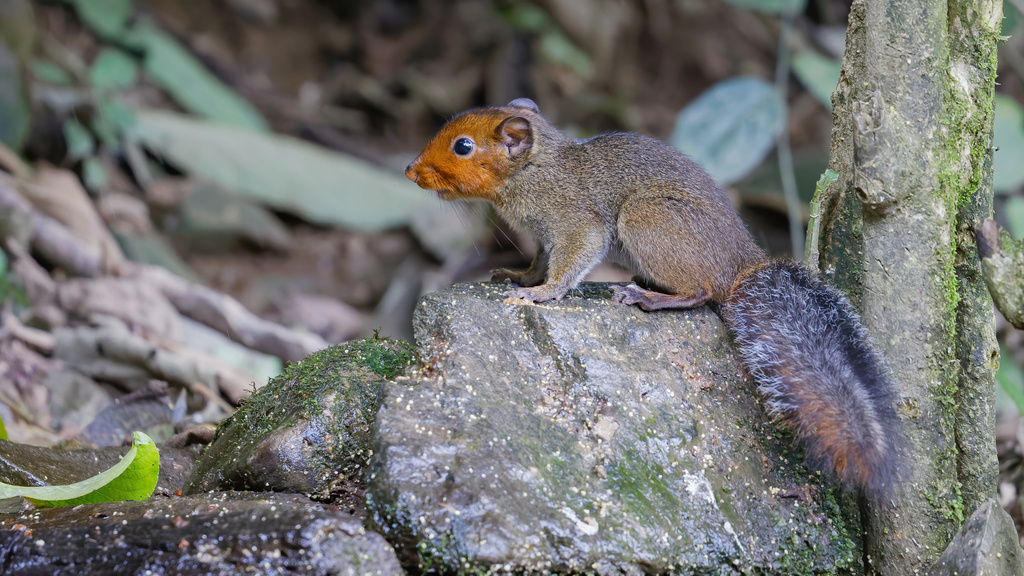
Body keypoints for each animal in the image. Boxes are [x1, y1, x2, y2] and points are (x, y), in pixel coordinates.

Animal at [405, 97, 903, 500]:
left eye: (463, 146)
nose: (411, 171)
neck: (534, 168)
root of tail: (743, 265)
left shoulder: (576, 222)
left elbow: (568, 265)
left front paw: (538, 294)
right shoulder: (546, 236)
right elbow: (539, 260)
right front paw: (517, 276)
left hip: (647, 219)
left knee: (702, 292)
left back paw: (648, 297)